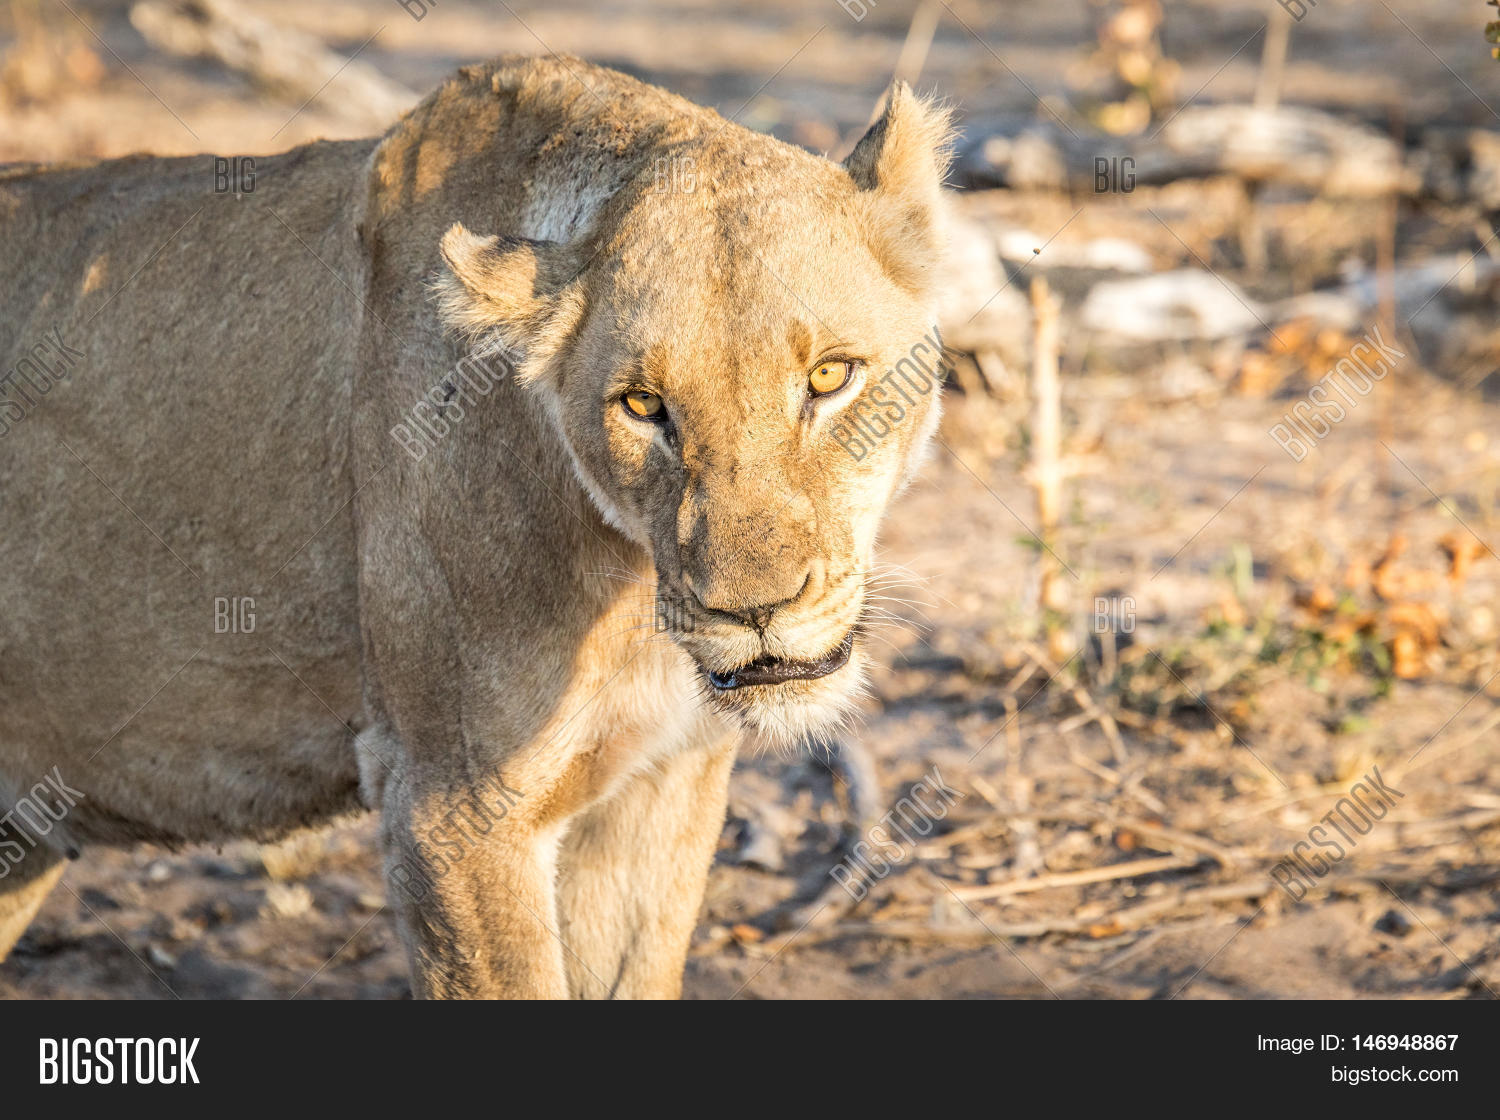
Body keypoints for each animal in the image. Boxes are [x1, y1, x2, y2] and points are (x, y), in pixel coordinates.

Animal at [0, 56, 953, 998]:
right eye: (644, 407)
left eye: (829, 377)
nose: (752, 611)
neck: (629, 580)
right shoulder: (452, 810)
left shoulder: (661, 782)